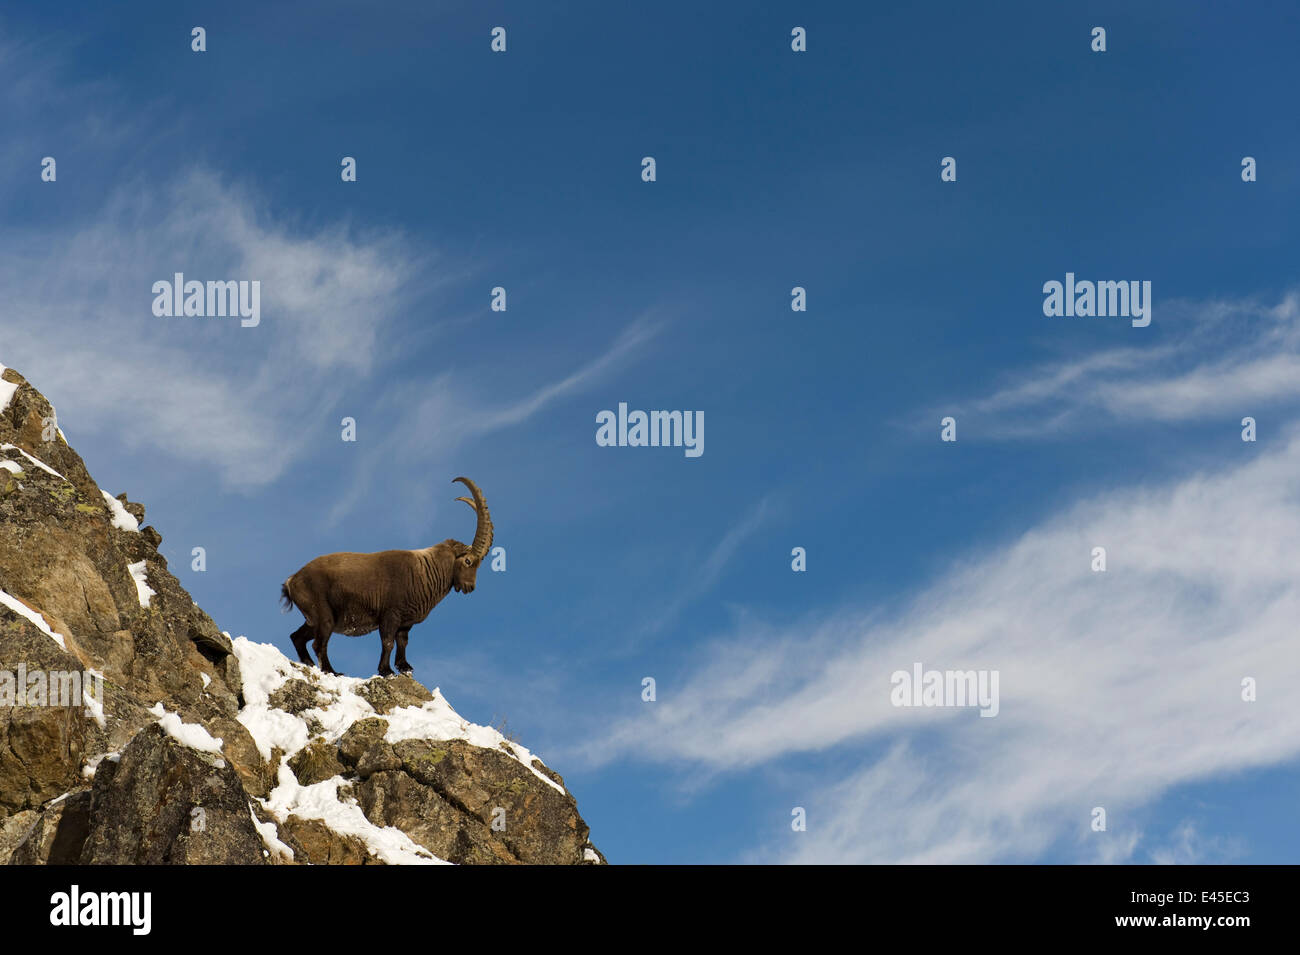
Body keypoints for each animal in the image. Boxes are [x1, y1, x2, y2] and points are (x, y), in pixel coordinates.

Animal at [279, 477, 494, 677]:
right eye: (468, 561)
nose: (470, 586)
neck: (425, 571)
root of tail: (292, 580)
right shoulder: (391, 614)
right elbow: (388, 641)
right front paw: (386, 670)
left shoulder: (406, 622)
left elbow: (403, 642)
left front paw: (404, 667)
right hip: (324, 616)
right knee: (318, 643)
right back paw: (332, 671)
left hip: (313, 619)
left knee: (297, 637)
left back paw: (310, 664)